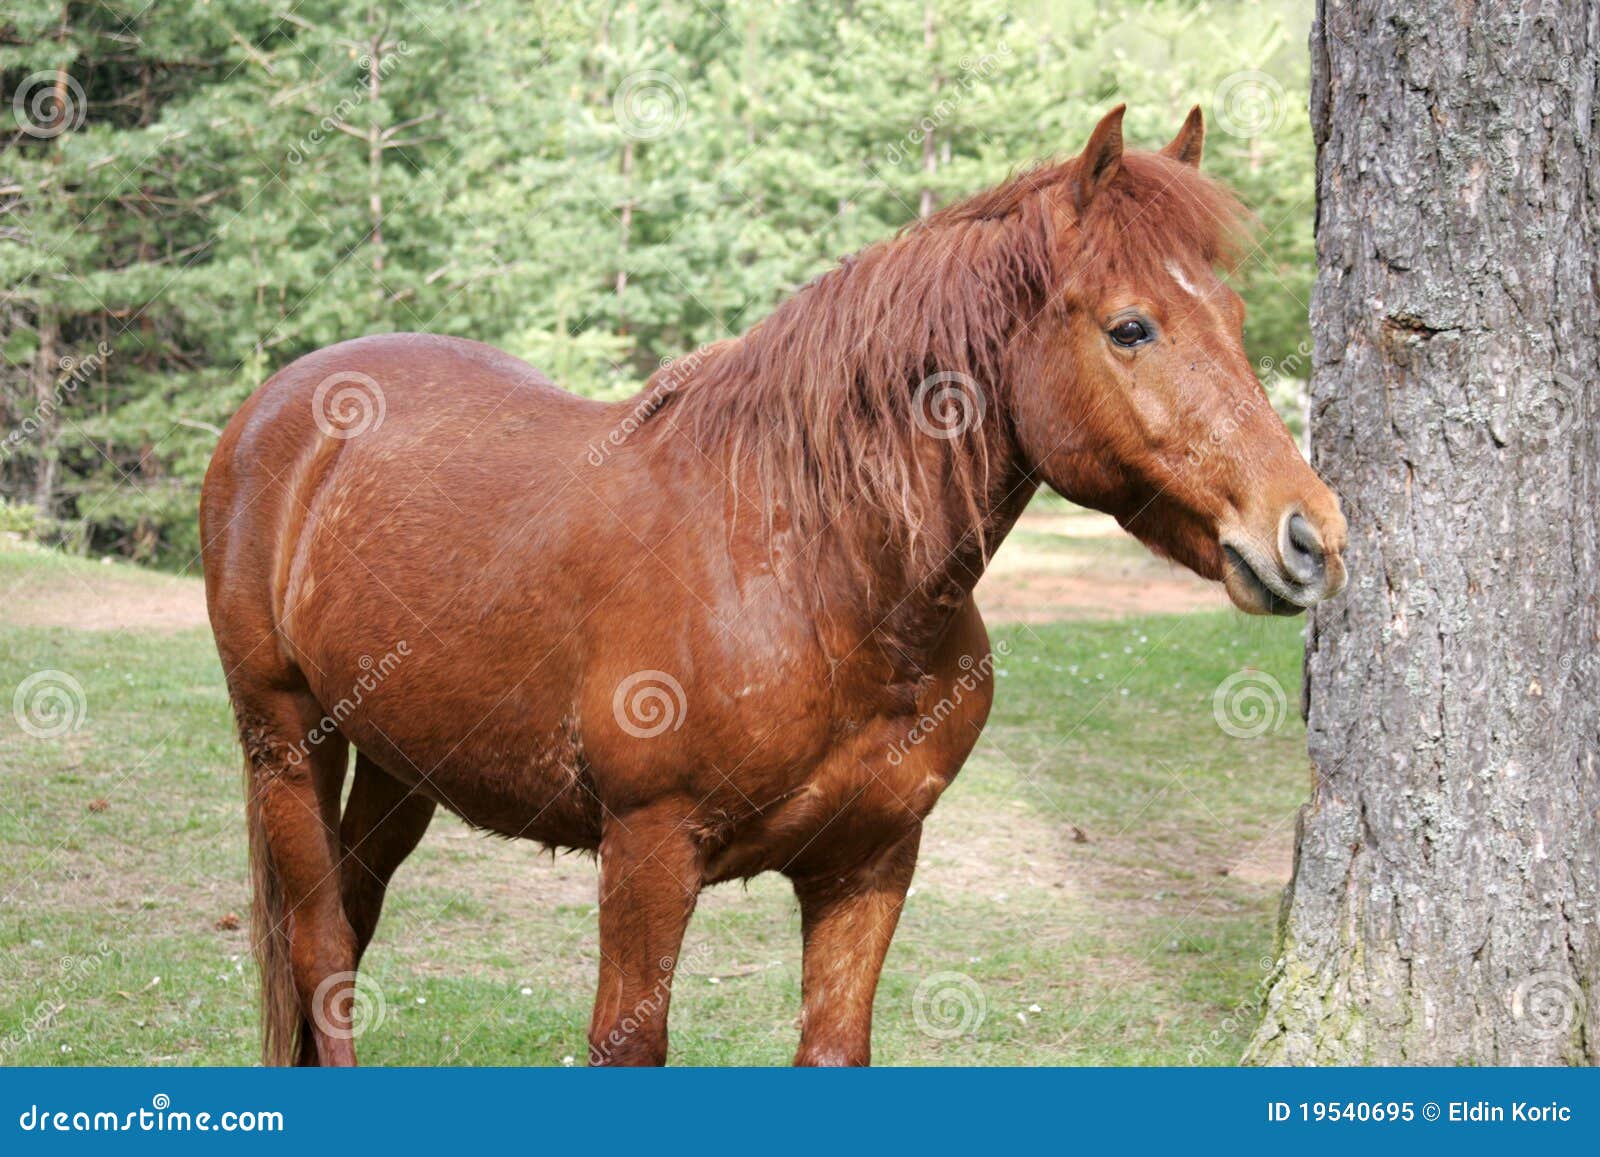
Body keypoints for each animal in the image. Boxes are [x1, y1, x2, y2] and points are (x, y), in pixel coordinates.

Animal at [200, 105, 1347, 1067]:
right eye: (1130, 327)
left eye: (1234, 312)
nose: (1310, 536)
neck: (814, 569)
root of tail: (283, 404)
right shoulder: (649, 852)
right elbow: (626, 1042)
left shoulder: (870, 860)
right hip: (286, 742)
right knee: (321, 949)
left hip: (402, 762)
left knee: (350, 922)